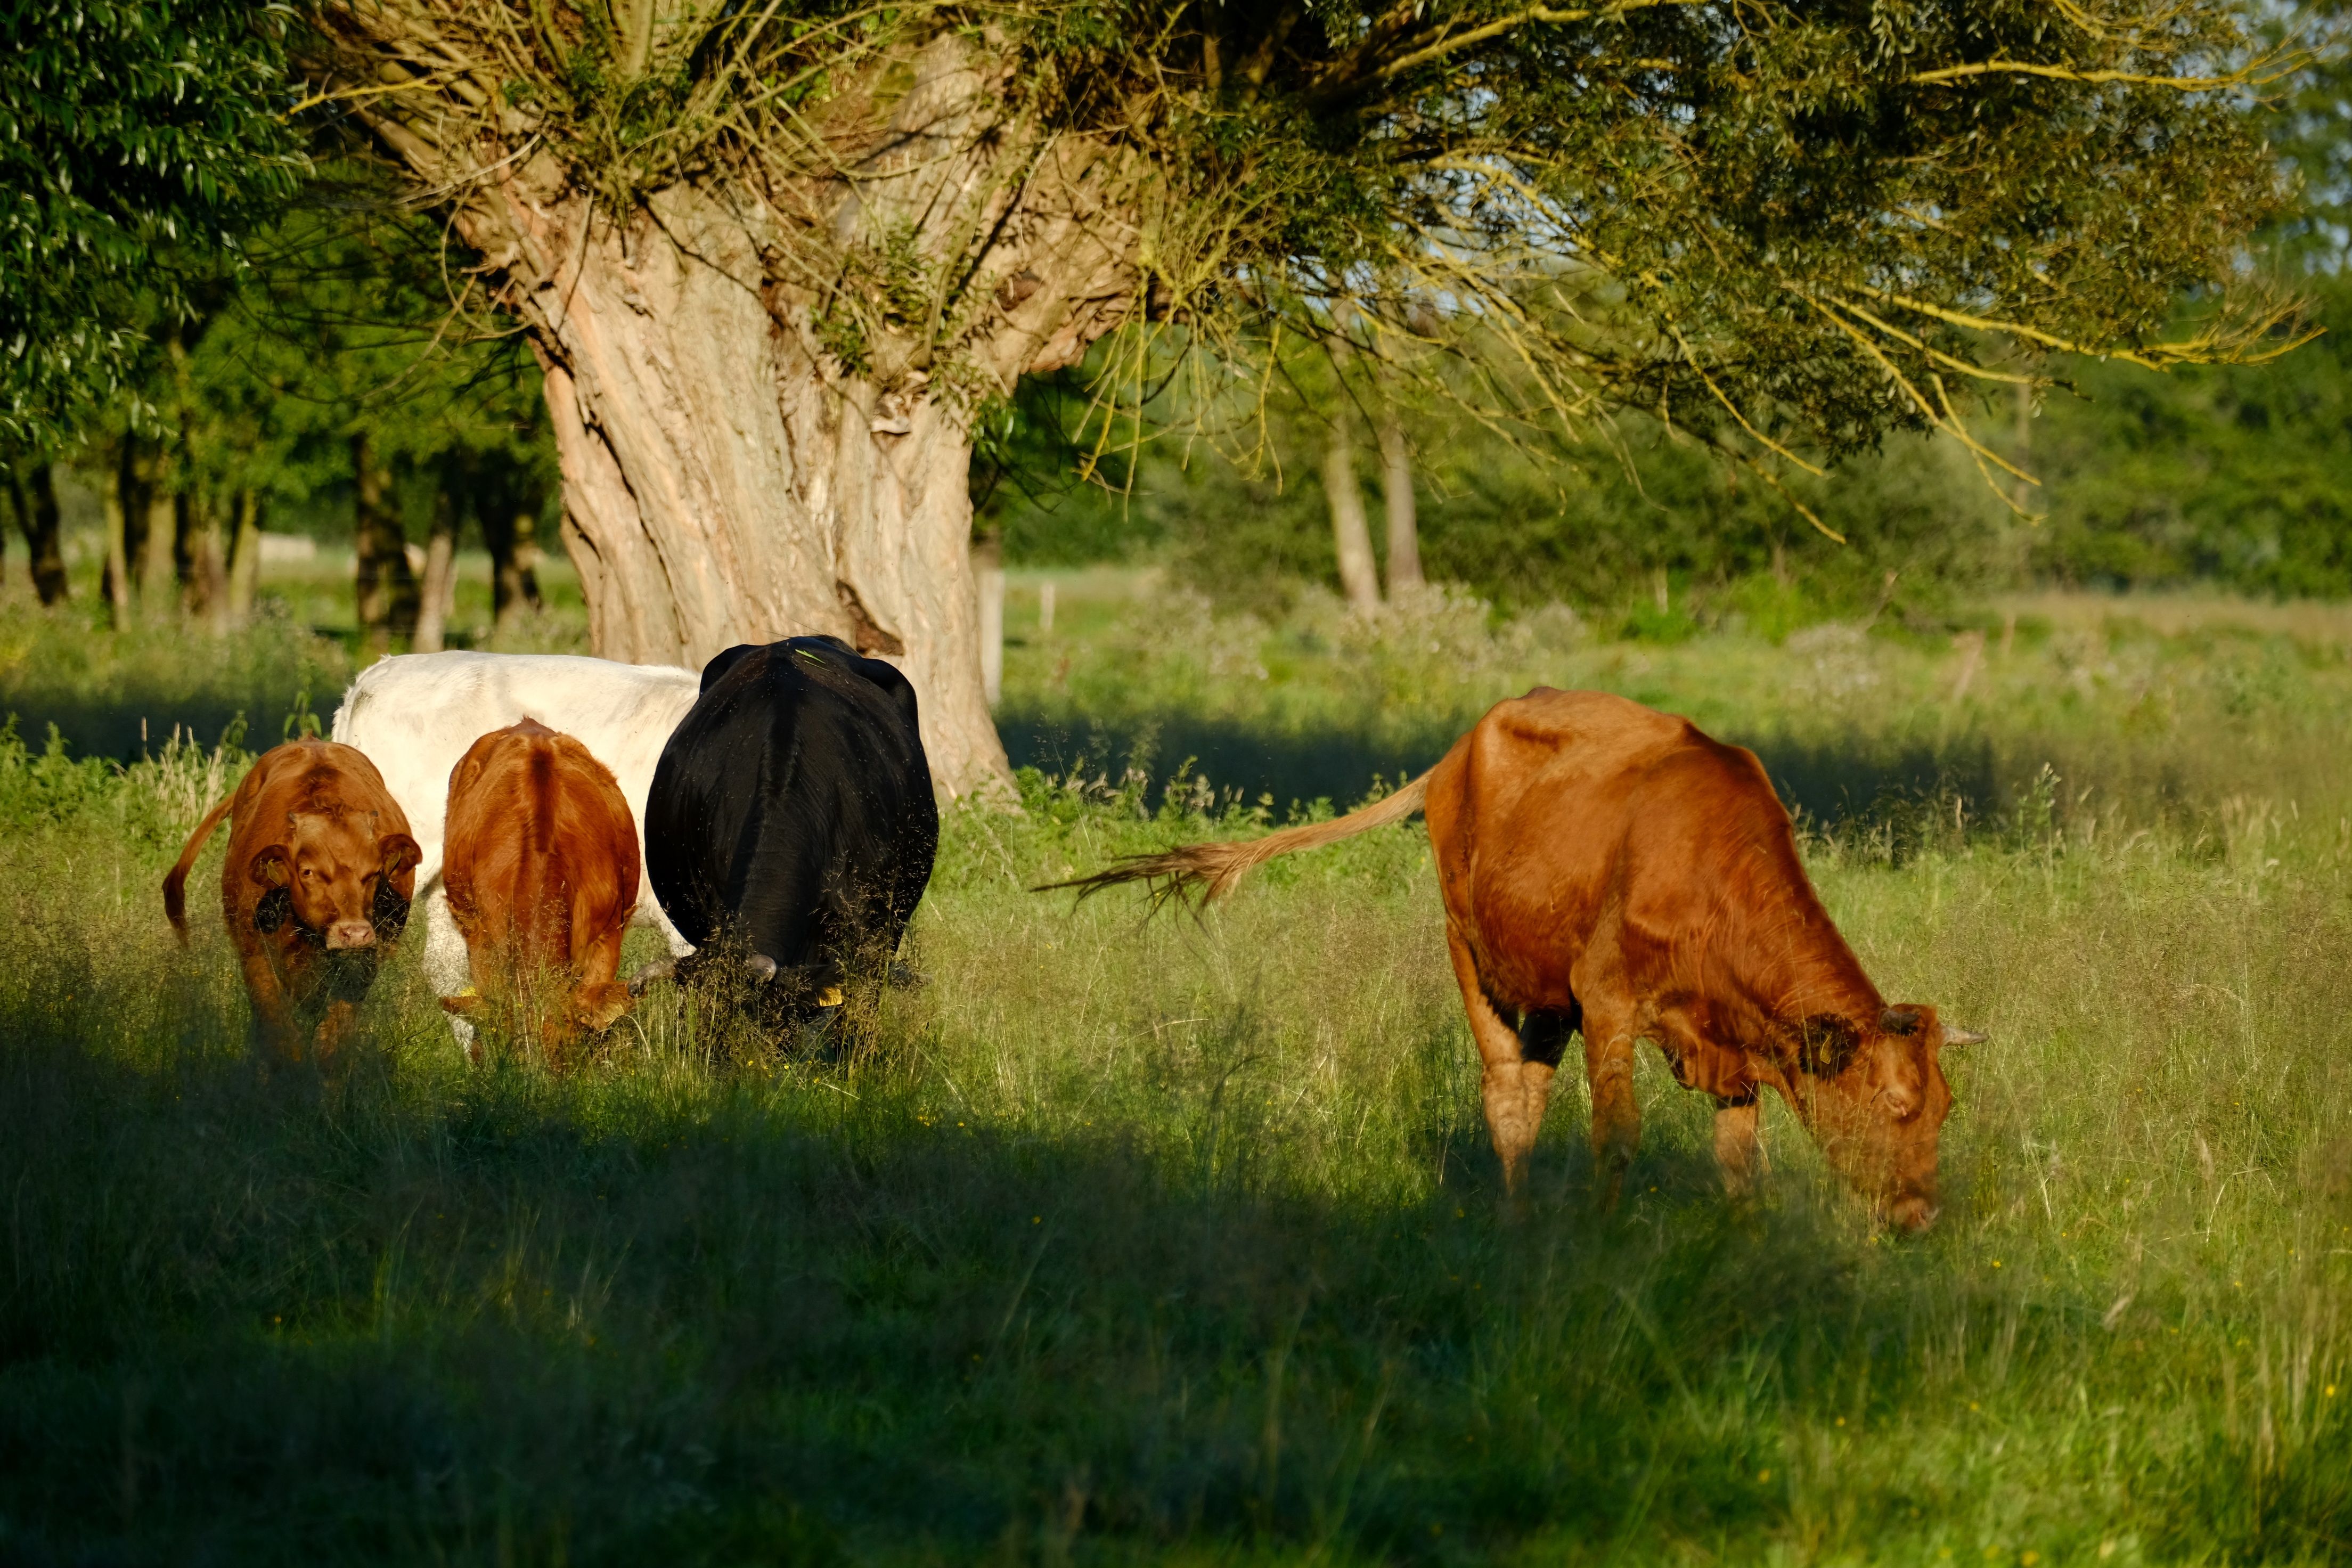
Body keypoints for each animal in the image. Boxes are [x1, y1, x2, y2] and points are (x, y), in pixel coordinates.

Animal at [162, 739, 422, 1061]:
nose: (354, 932)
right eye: (307, 871)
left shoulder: (362, 967)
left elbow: (331, 1044)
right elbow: (282, 1040)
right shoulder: (255, 957)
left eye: (374, 872)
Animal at [1049, 689, 1983, 1229]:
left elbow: (1737, 1160)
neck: (1709, 866)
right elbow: (1618, 1135)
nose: (1919, 1217)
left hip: (1543, 989)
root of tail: (1454, 753)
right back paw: (1516, 1219)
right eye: (1898, 1104)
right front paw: (1608, 1244)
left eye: (1944, 1110)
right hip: (1469, 948)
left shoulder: (1729, 1042)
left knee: (1529, 1092)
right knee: (1505, 1093)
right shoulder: (1608, 1001)